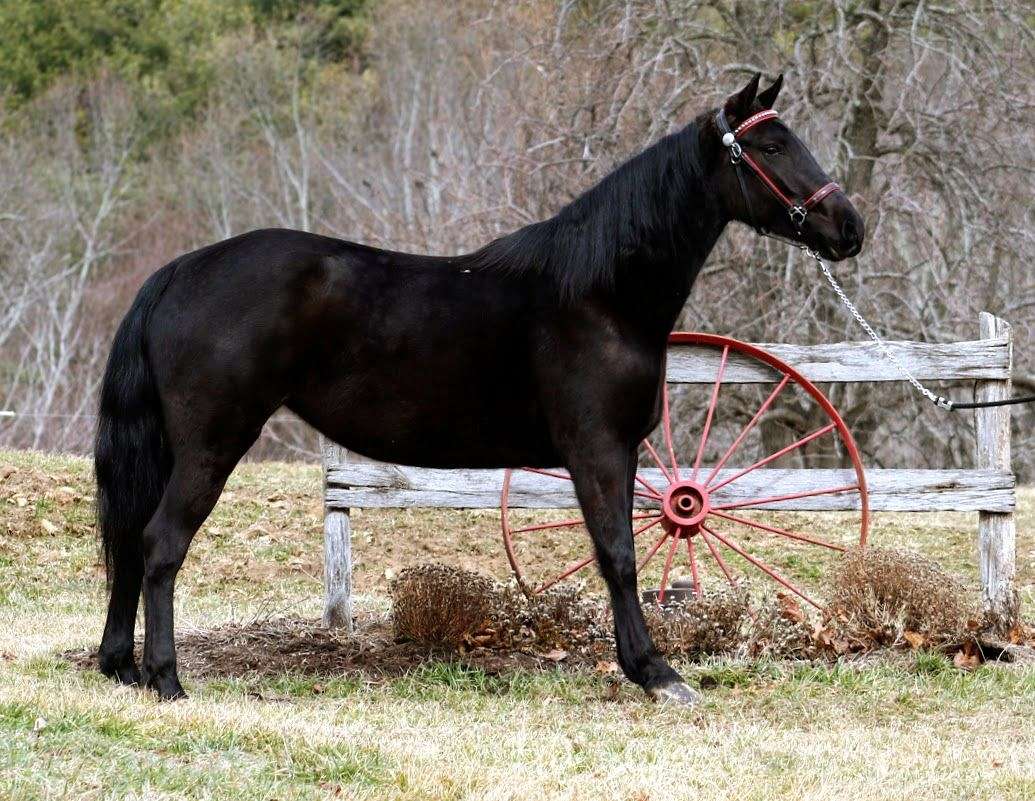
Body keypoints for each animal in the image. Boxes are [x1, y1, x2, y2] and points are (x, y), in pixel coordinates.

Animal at [95, 73, 863, 704]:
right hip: (212, 443)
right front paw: (655, 672)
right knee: (161, 542)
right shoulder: (598, 450)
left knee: (131, 542)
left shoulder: (622, 455)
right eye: (770, 145)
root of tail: (182, 269)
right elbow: (618, 555)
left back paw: (122, 665)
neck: (600, 296)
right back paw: (166, 678)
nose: (848, 227)